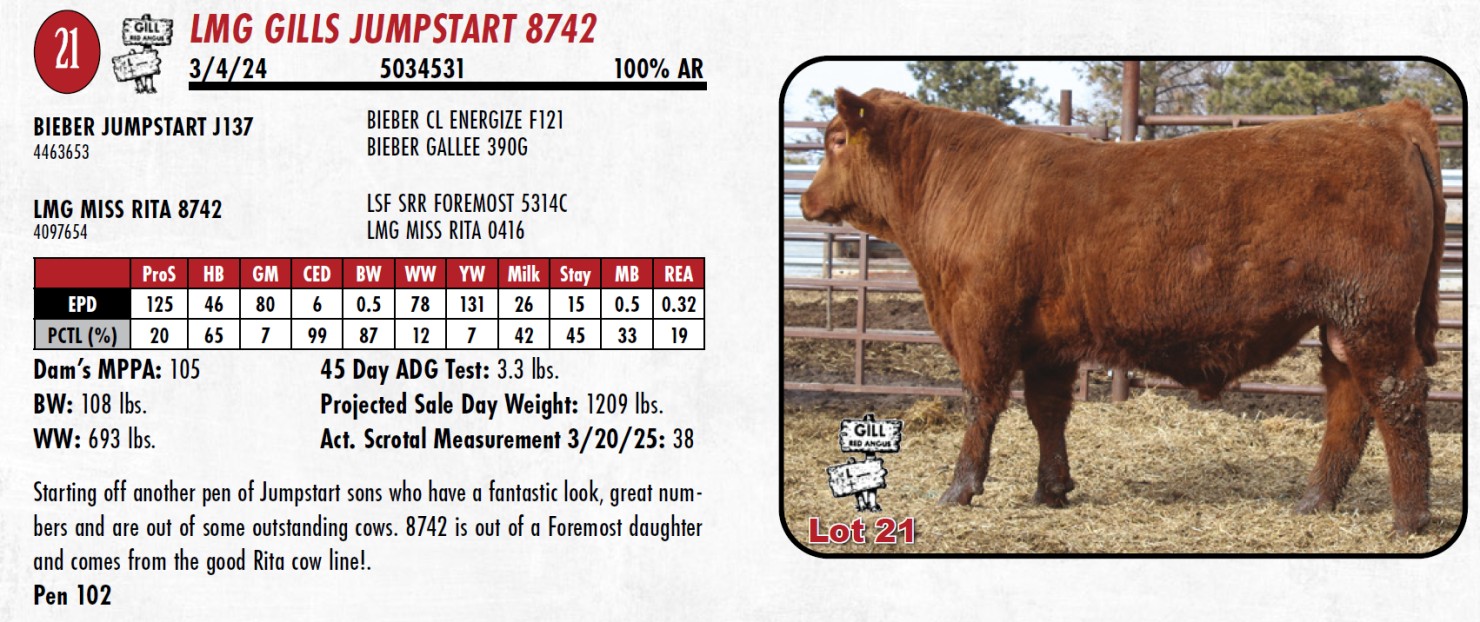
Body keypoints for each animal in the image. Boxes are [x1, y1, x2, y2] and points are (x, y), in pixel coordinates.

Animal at [799, 88, 1445, 535]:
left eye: (836, 141)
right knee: (1349, 404)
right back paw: (1314, 502)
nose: (804, 201)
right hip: (1342, 324)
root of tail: (1386, 116)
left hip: (1371, 315)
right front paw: (1052, 489)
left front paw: (960, 490)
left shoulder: (981, 324)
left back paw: (1408, 518)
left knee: (1396, 394)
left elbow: (980, 405)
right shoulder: (1047, 342)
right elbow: (1047, 412)